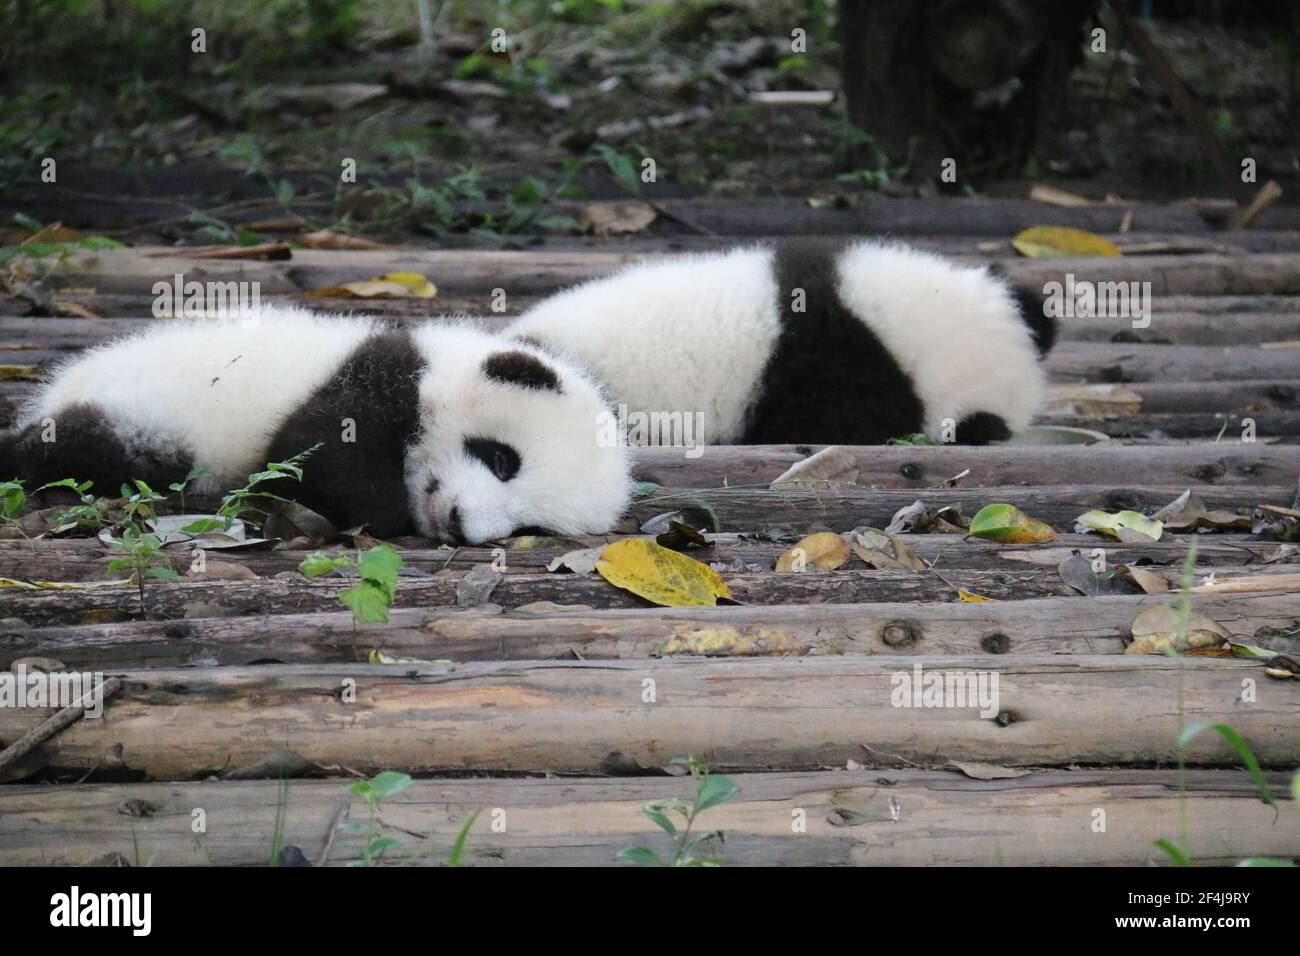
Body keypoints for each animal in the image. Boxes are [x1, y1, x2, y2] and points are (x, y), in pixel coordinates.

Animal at [0, 308, 631, 543]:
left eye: (531, 526)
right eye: (503, 460)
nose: (459, 525)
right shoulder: (379, 377)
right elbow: (309, 451)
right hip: (141, 414)